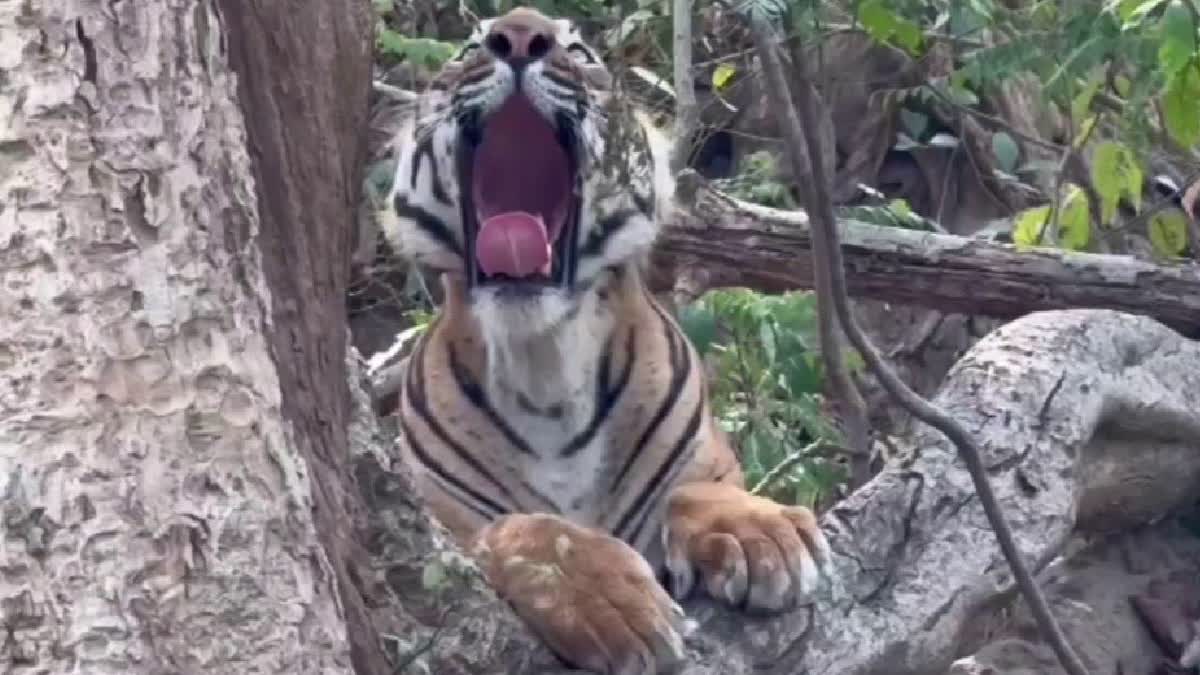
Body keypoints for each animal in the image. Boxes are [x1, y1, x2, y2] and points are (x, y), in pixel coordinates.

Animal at [376, 7, 833, 673]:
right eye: (468, 48)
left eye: (579, 50)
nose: (518, 34)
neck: (543, 361)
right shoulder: (441, 522)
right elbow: (529, 528)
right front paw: (611, 605)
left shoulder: (704, 459)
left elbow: (702, 489)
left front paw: (765, 536)